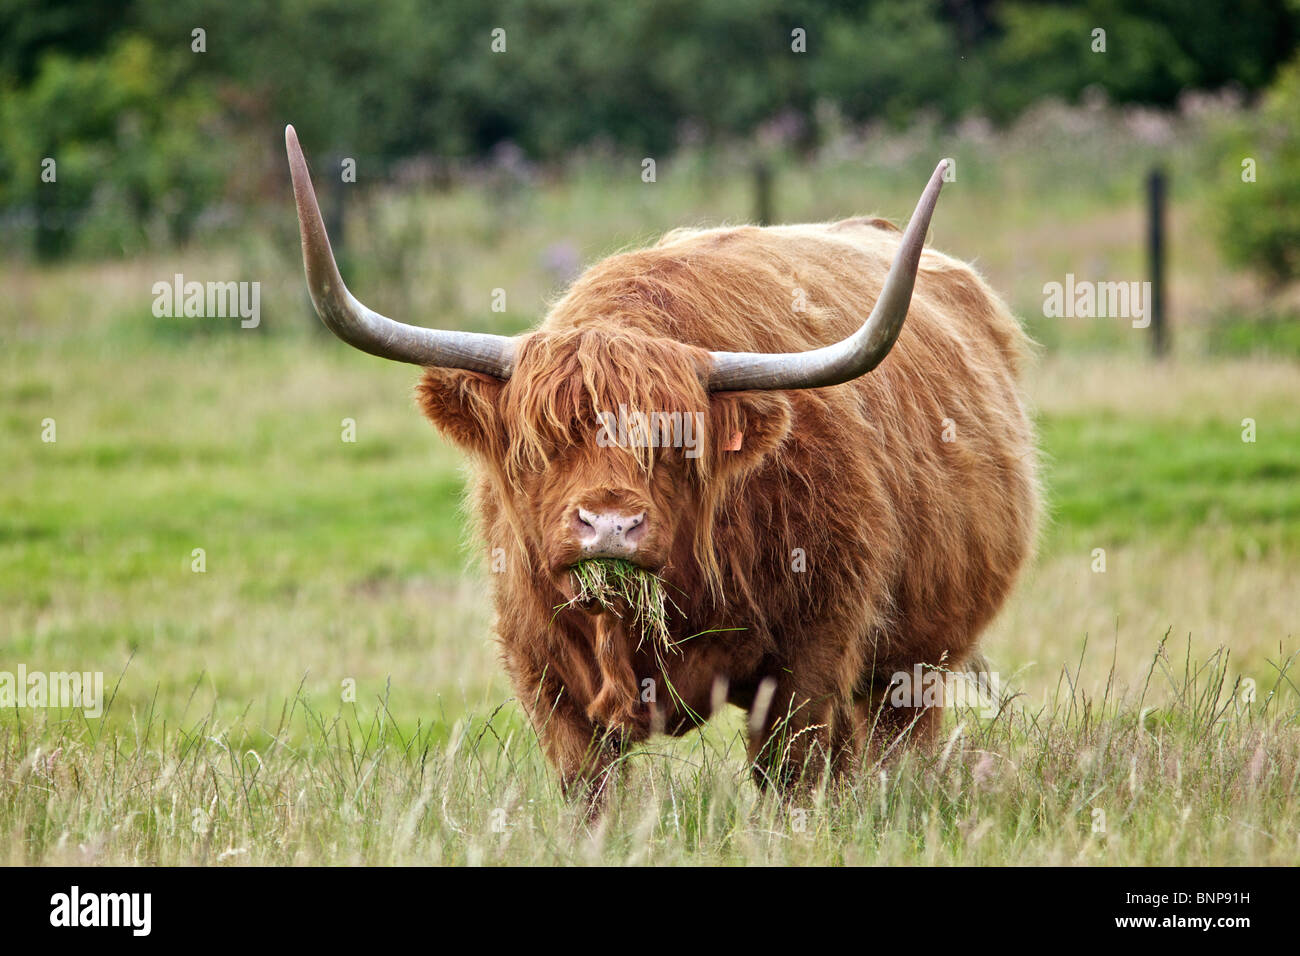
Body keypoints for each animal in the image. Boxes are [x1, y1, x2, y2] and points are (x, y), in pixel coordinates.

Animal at [285, 126, 1039, 810]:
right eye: (540, 445)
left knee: (892, 744)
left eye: (676, 447)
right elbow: (591, 790)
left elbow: (791, 774)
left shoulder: (814, 652)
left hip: (917, 658)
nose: (608, 526)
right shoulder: (545, 672)